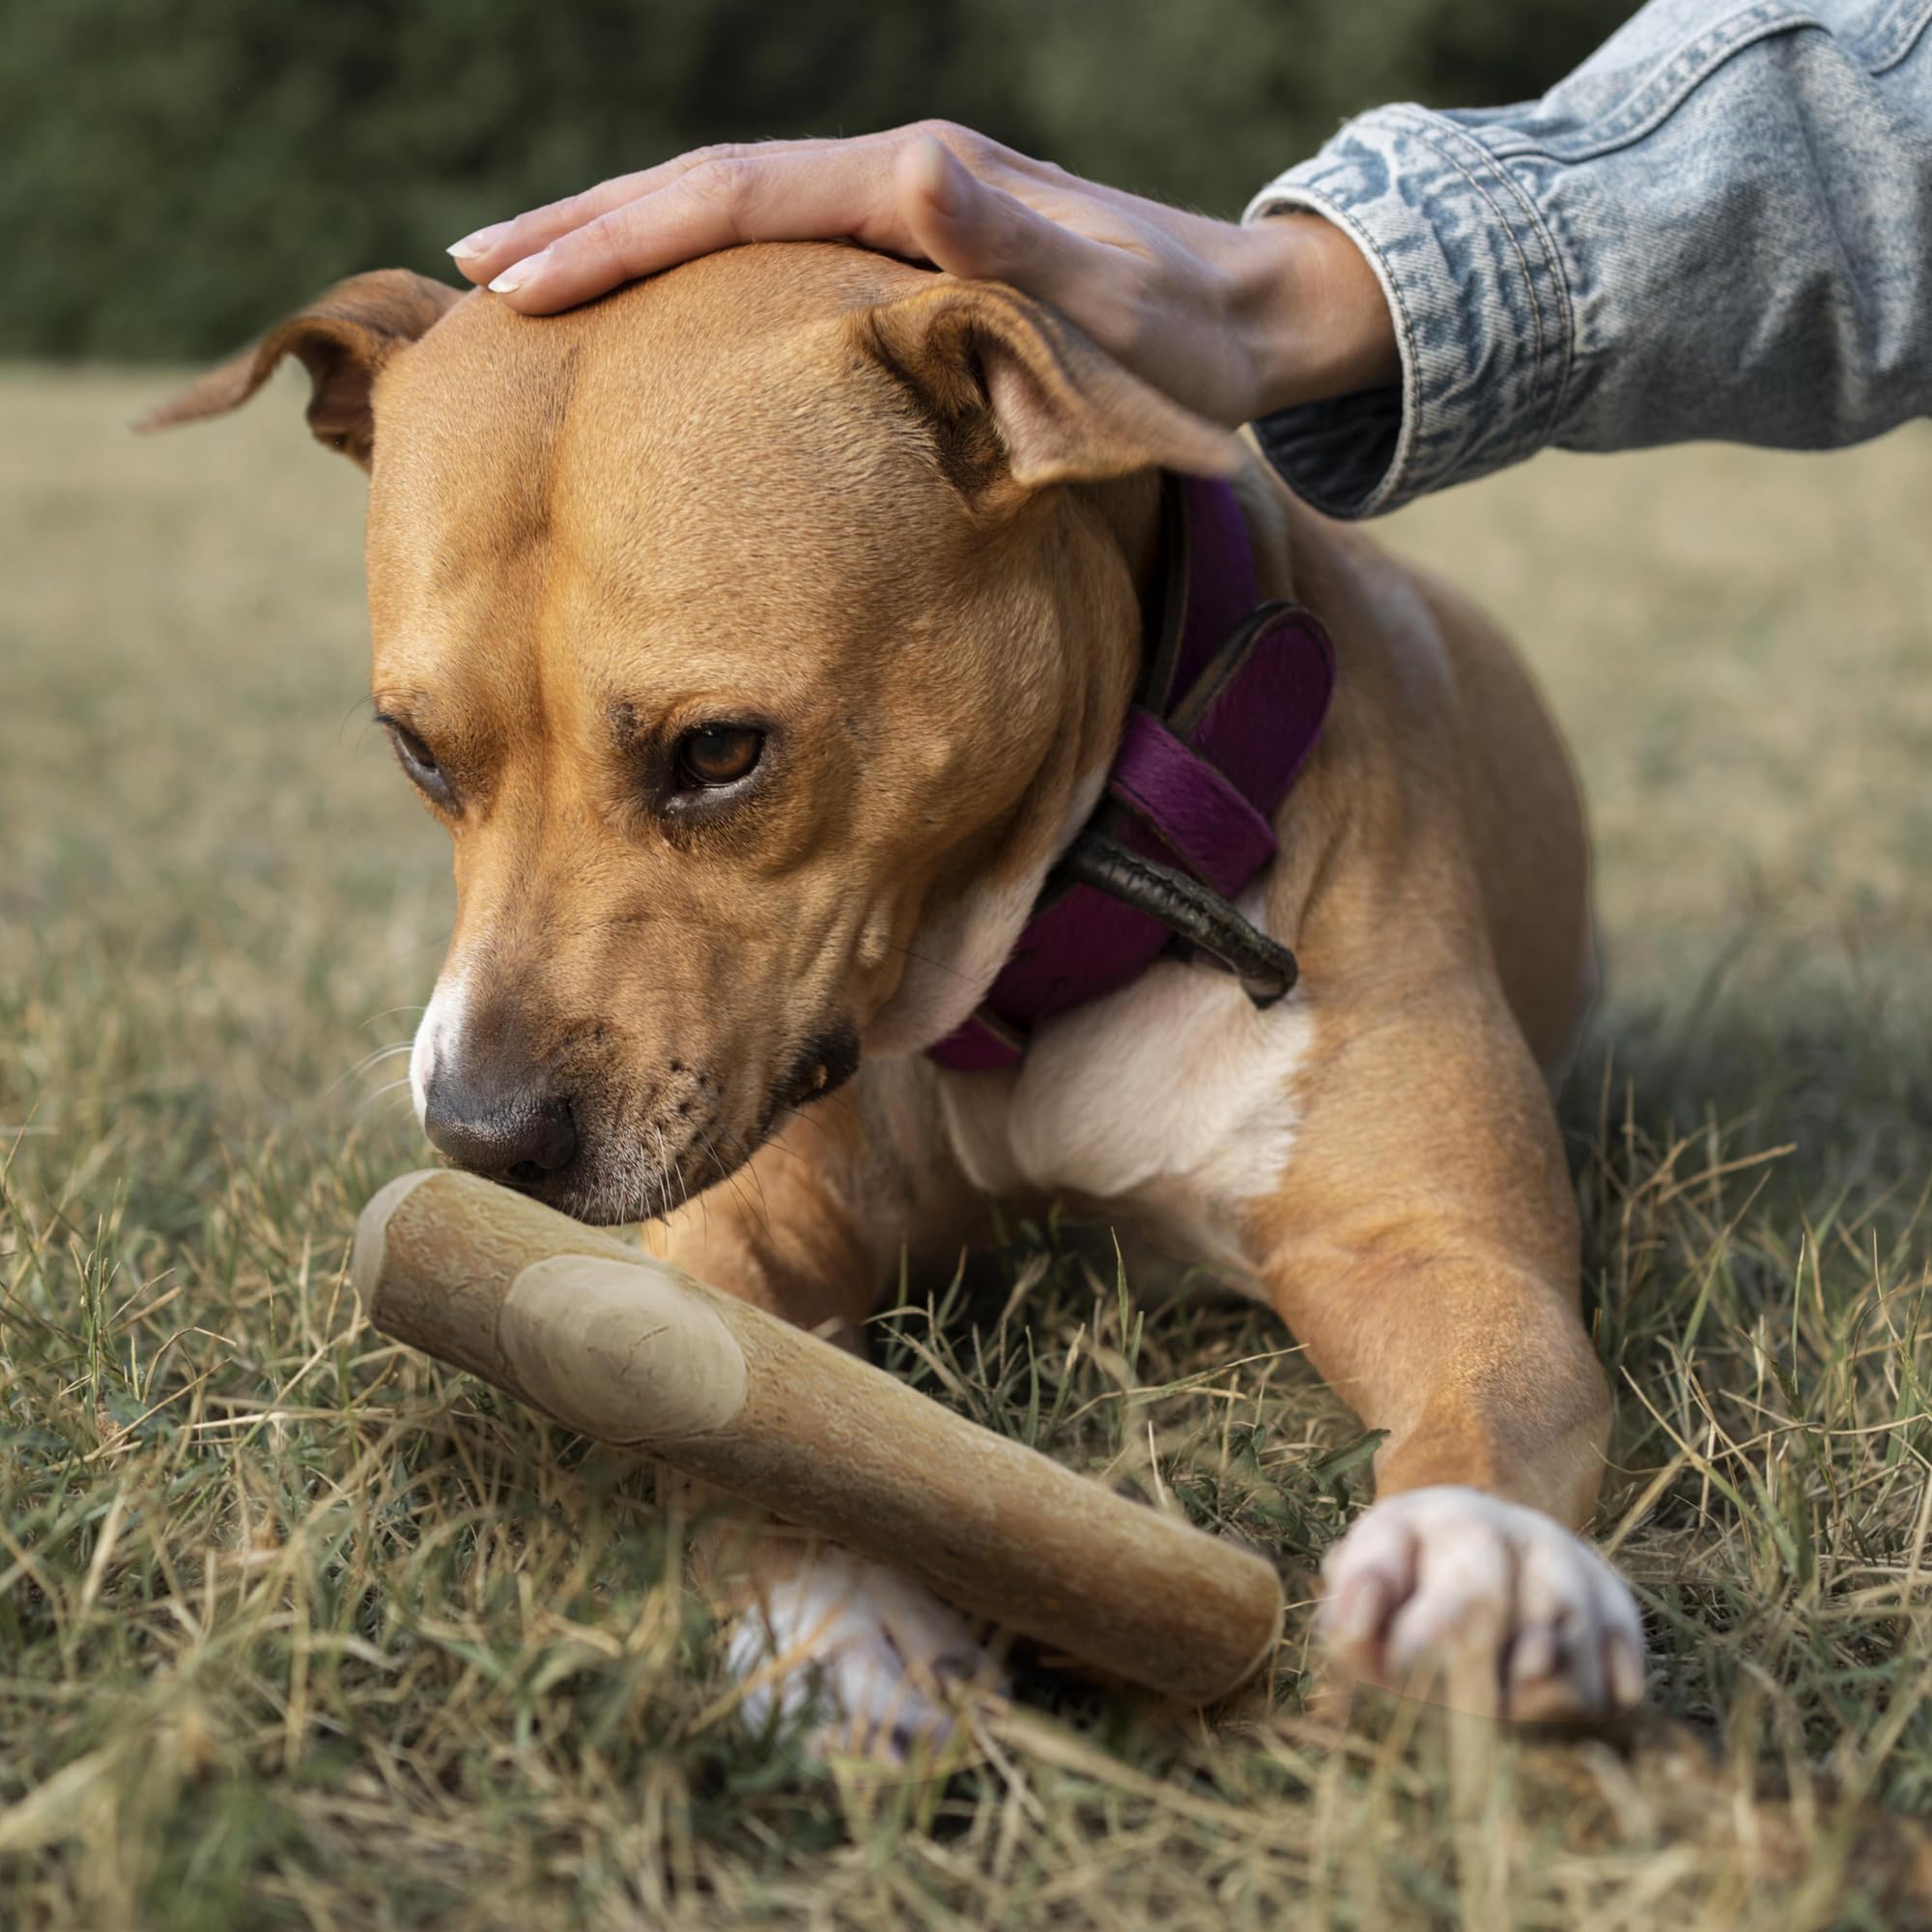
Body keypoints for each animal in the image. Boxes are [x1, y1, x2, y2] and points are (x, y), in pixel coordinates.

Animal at [151, 242, 1646, 1754]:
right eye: (417, 753)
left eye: (721, 751)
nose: (482, 1136)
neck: (1018, 974)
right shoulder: (739, 1229)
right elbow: (723, 1404)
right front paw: (837, 1616)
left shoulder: (1437, 1247)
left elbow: (1494, 1386)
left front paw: (1481, 1557)